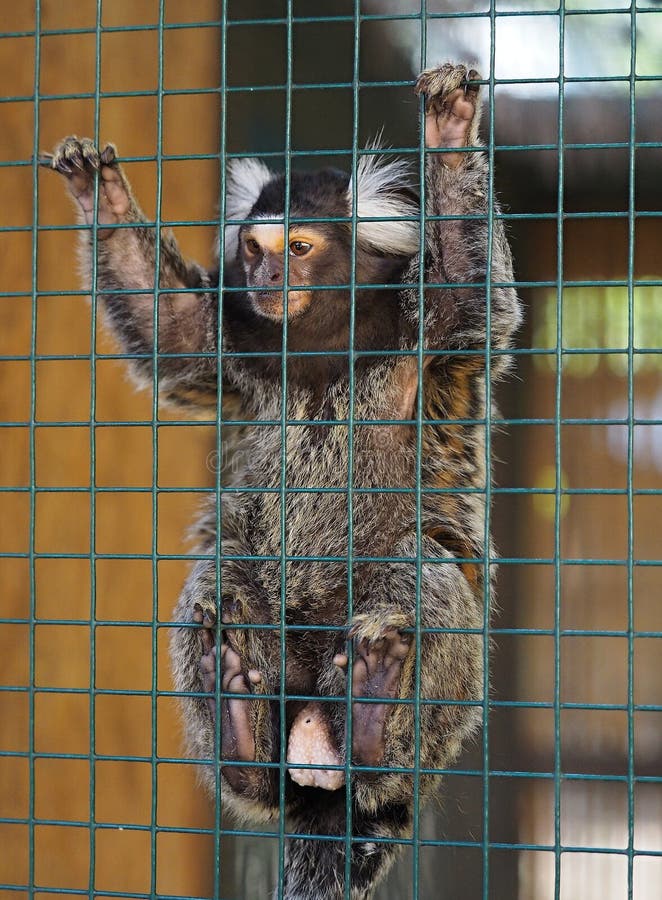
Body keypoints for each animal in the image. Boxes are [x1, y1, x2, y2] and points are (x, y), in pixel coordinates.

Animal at [43, 63, 521, 899]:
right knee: (222, 577)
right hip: (275, 655)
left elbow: (472, 296)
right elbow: (173, 334)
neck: (322, 343)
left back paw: (371, 724)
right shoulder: (235, 340)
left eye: (297, 247)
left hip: (438, 711)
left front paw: (451, 130)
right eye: (255, 246)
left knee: (422, 569)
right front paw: (104, 195)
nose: (266, 274)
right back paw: (240, 724)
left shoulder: (429, 329)